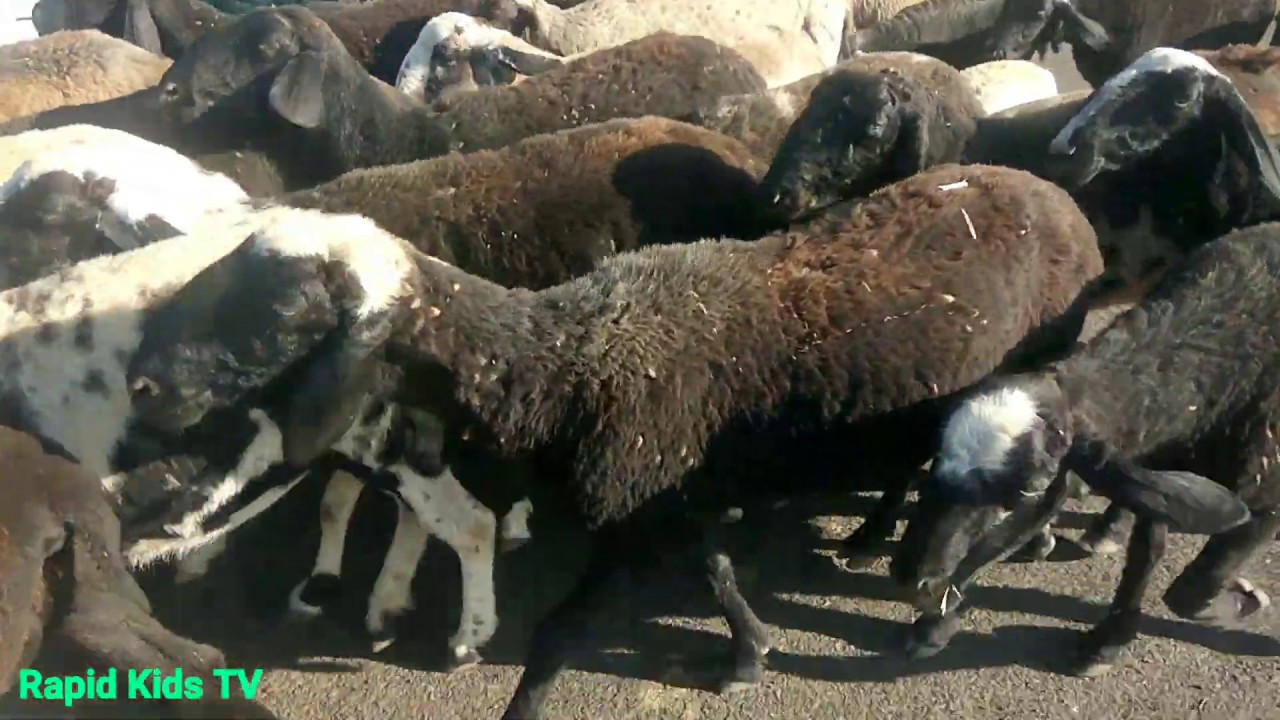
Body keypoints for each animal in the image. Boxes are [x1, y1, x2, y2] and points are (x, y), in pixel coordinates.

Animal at [126, 162, 1105, 717]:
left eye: (282, 313)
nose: (145, 381)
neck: (566, 361)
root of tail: (1057, 194)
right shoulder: (668, 497)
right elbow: (716, 572)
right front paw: (748, 654)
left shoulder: (637, 510)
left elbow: (555, 642)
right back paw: (870, 536)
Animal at [891, 222, 1277, 679]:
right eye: (937, 455)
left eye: (1027, 489)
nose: (911, 578)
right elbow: (1146, 550)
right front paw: (1109, 641)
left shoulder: (1268, 492)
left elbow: (1190, 588)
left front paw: (1238, 602)